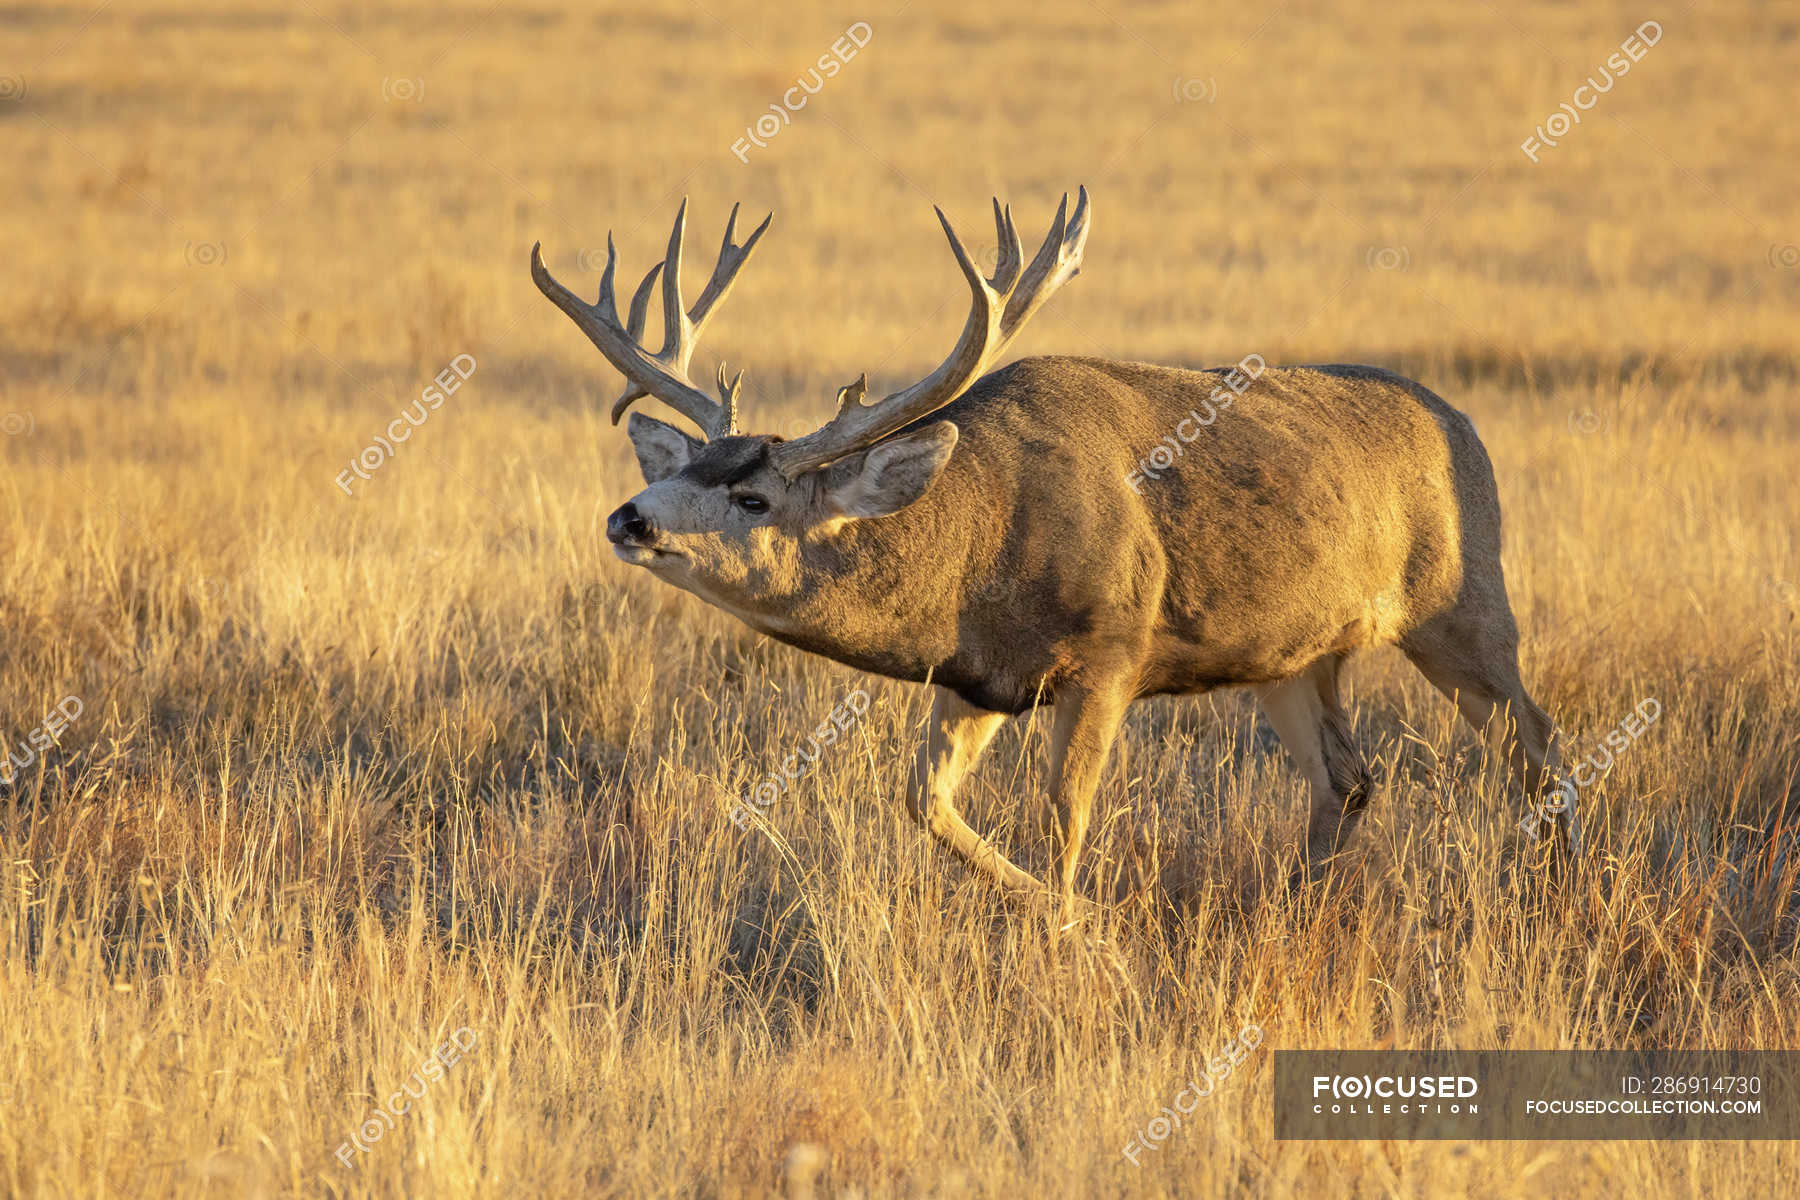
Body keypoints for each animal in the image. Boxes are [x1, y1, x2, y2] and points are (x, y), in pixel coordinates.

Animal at [529, 189, 1573, 928]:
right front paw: (1069, 919)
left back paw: (1552, 894)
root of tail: (1460, 423)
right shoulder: (977, 679)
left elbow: (1064, 818)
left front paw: (1079, 935)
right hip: (1292, 655)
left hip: (1463, 605)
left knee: (1539, 743)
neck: (979, 537)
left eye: (753, 498)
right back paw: (1297, 913)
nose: (630, 518)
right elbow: (925, 806)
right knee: (1347, 779)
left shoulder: (1111, 650)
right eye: (685, 466)